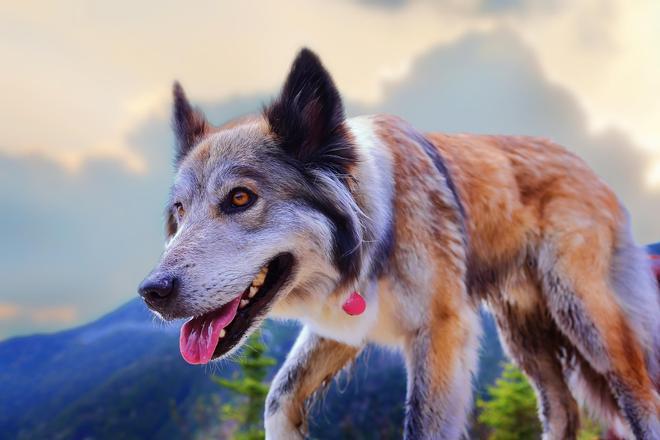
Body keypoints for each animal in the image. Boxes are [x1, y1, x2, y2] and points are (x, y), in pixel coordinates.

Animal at [138, 48, 660, 439]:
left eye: (240, 198)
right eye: (180, 211)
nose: (151, 292)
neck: (376, 229)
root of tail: (587, 166)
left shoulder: (441, 332)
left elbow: (422, 426)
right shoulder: (342, 326)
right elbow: (277, 399)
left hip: (584, 316)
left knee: (642, 395)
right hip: (525, 340)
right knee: (562, 410)